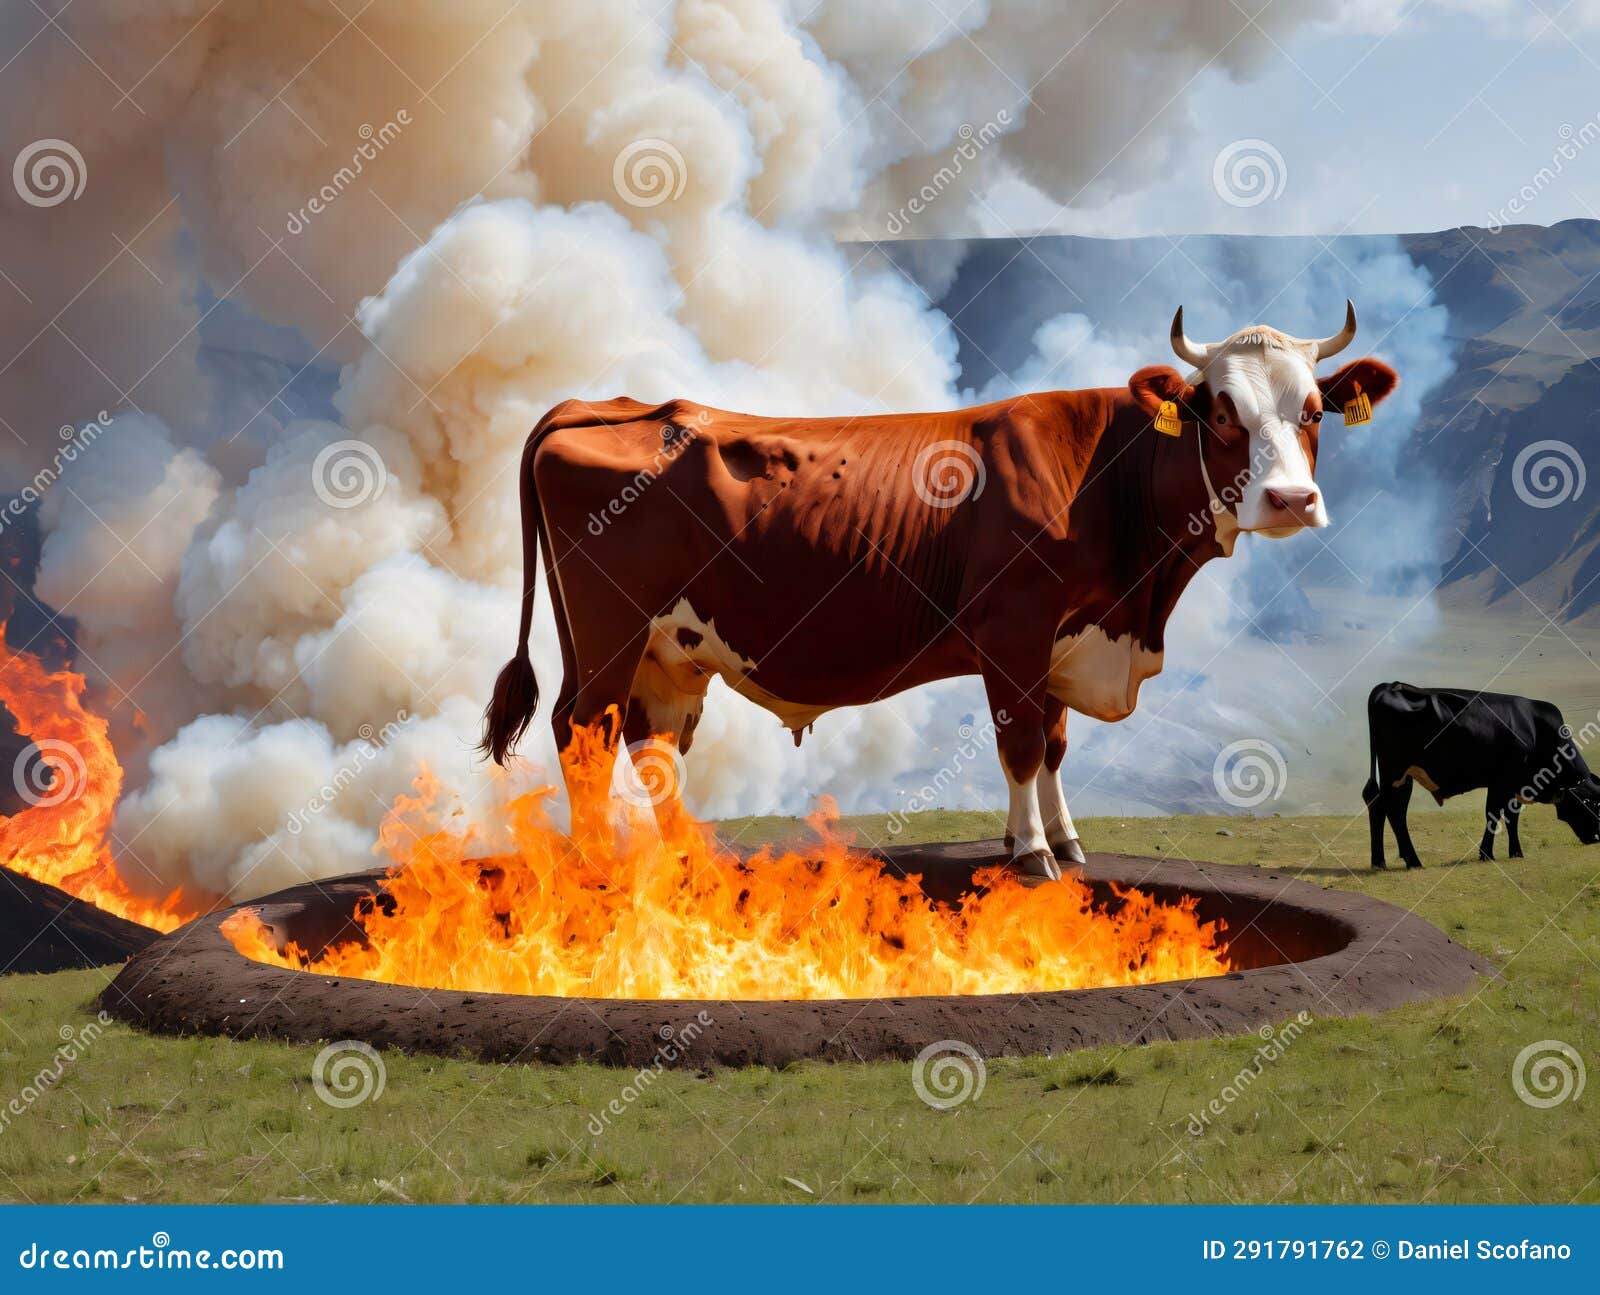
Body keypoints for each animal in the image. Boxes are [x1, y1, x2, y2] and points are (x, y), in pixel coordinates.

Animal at [482, 303, 1399, 879]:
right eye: (1221, 412)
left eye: (1314, 410)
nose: (1292, 500)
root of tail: (605, 402)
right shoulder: (1015, 629)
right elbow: (1021, 744)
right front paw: (1031, 854)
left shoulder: (1064, 637)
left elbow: (1055, 745)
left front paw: (1059, 838)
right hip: (609, 631)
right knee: (585, 733)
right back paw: (594, 861)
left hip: (668, 648)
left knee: (651, 744)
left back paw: (686, 855)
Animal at [1363, 682, 1600, 868]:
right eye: (1590, 803)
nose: (1597, 838)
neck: (1537, 729)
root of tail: (1390, 685)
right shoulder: (1501, 782)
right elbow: (1493, 814)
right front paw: (1486, 854)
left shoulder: (1517, 784)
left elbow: (1512, 817)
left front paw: (1516, 852)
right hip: (1395, 770)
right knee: (1393, 811)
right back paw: (1413, 861)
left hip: (1402, 775)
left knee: (1379, 805)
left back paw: (1379, 862)